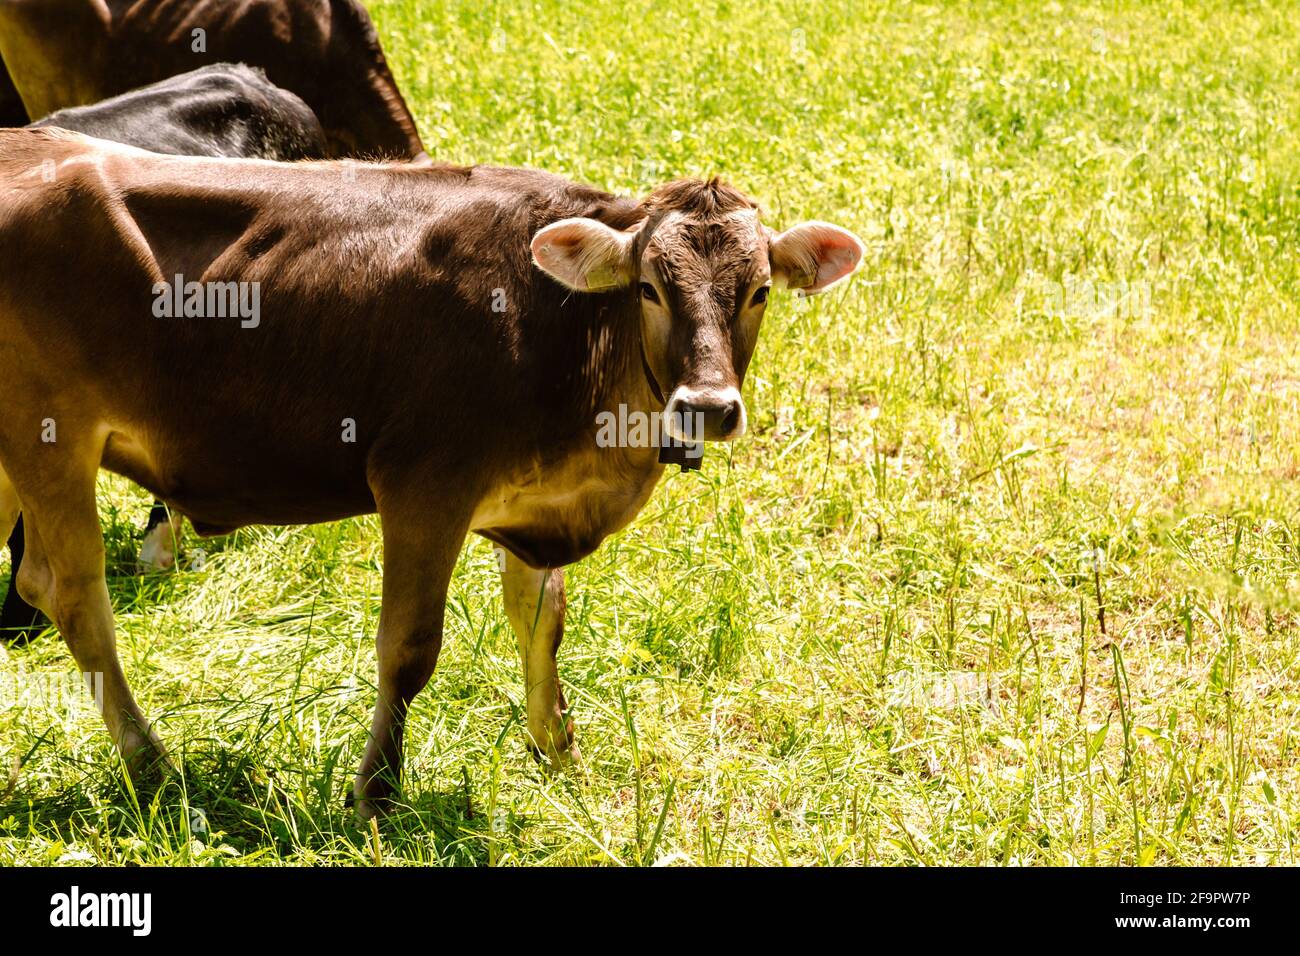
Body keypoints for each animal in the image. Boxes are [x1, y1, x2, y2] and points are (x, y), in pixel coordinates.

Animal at [0, 127, 863, 816]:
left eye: (757, 292)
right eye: (650, 287)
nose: (708, 406)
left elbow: (543, 621)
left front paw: (560, 753)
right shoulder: (425, 483)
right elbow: (410, 648)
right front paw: (377, 792)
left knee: (39, 582)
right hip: (50, 434)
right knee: (74, 597)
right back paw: (153, 762)